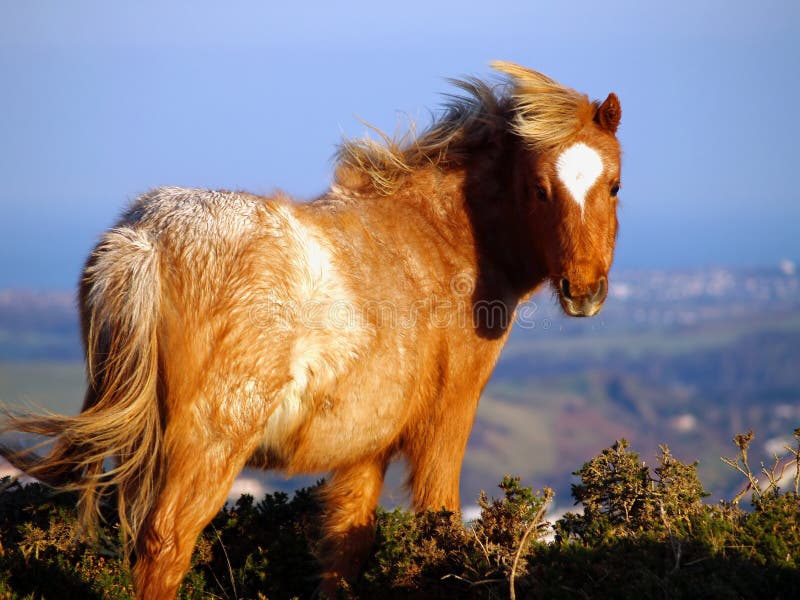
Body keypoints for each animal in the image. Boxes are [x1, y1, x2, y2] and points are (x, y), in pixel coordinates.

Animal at [0, 61, 622, 598]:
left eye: (613, 184)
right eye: (539, 187)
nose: (584, 291)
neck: (442, 239)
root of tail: (146, 241)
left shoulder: (365, 449)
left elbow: (346, 548)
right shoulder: (445, 422)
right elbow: (437, 523)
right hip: (208, 447)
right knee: (165, 546)